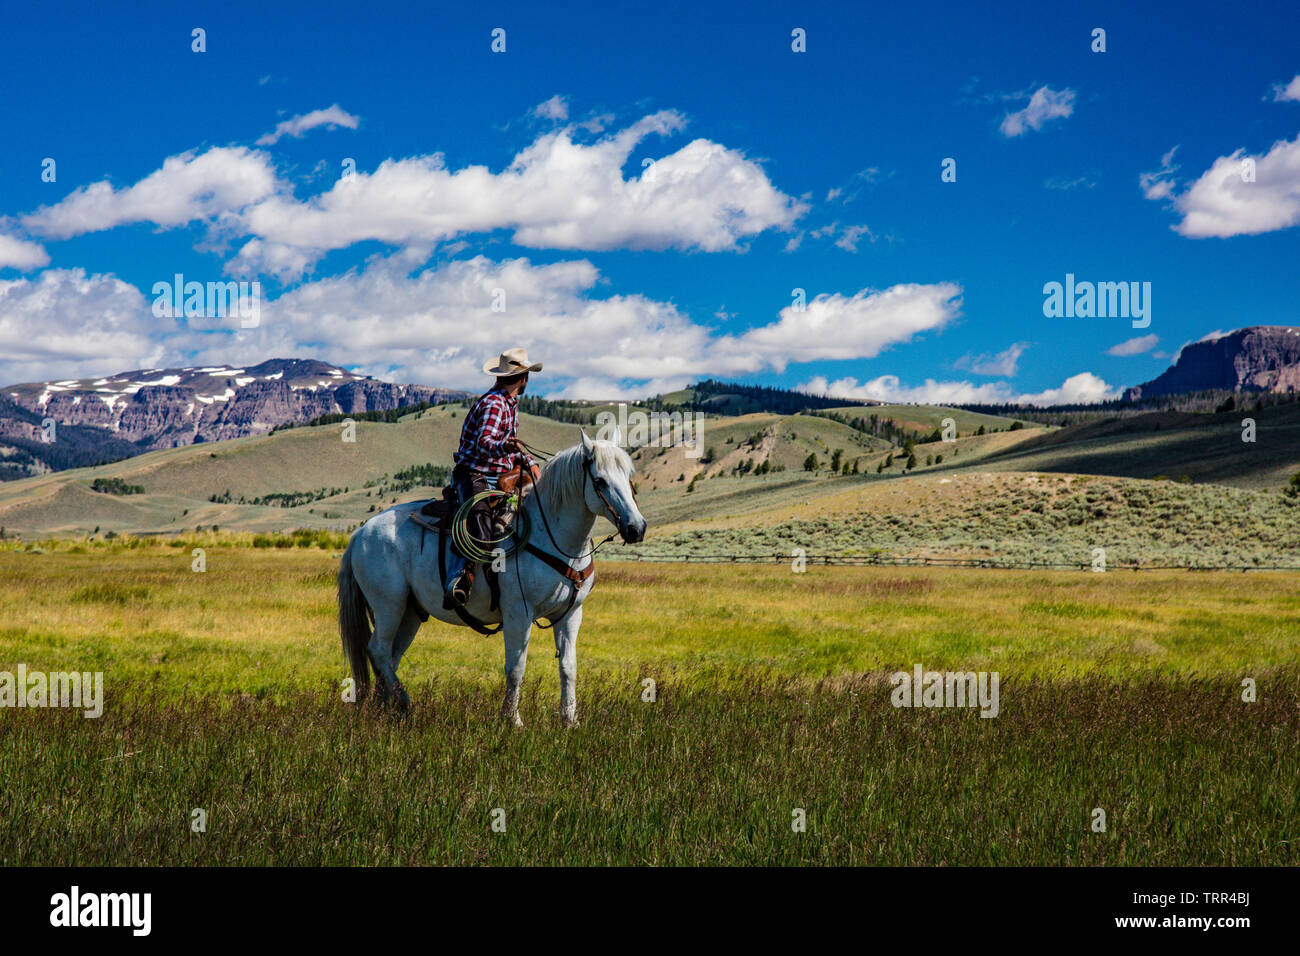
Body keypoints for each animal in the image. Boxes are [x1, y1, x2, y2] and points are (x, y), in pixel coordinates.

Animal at [337, 429, 646, 727]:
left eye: (629, 476)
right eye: (600, 481)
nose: (636, 528)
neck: (553, 535)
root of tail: (361, 533)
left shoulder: (571, 613)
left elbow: (568, 667)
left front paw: (570, 720)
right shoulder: (518, 613)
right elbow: (516, 667)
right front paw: (512, 720)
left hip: (411, 611)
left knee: (390, 655)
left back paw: (384, 708)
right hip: (389, 605)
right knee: (378, 649)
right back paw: (404, 703)